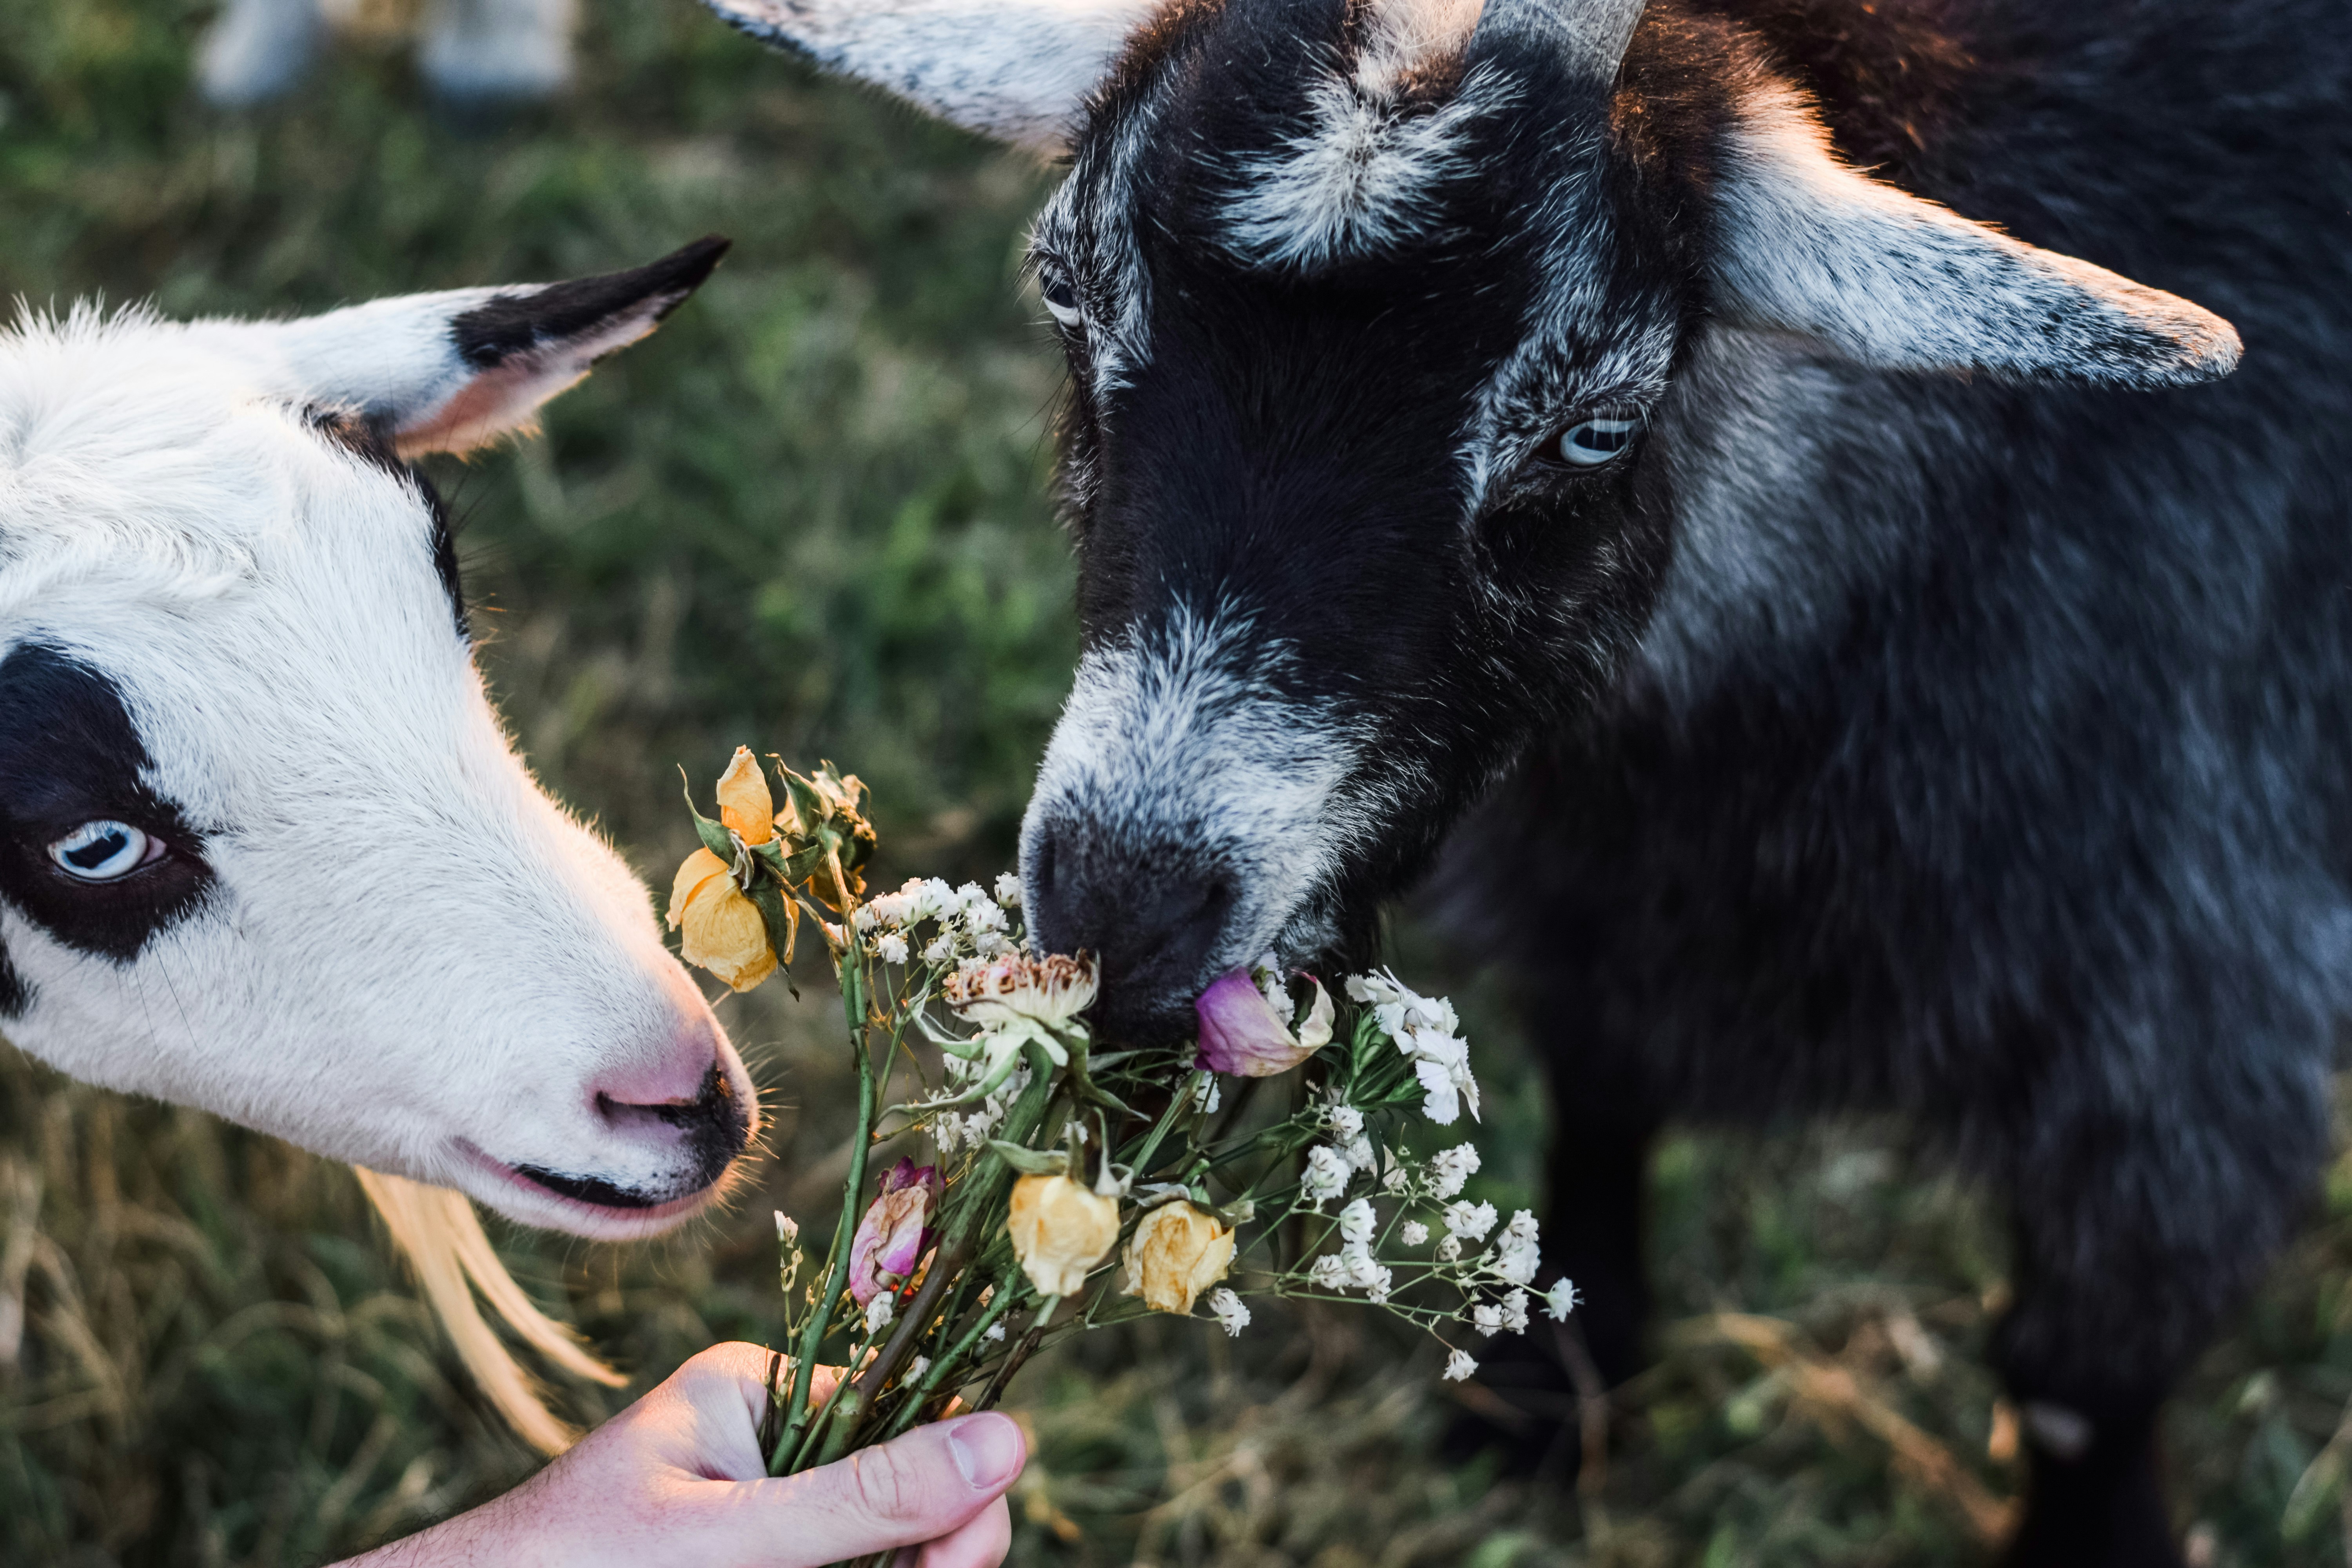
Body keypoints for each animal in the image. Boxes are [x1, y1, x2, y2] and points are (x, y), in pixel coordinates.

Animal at [705, 0, 2350, 1559]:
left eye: (1594, 428)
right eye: (1066, 290)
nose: (1123, 925)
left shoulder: (2195, 966)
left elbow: (2084, 1366)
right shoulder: (1597, 882)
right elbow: (1603, 1080)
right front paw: (1558, 1382)